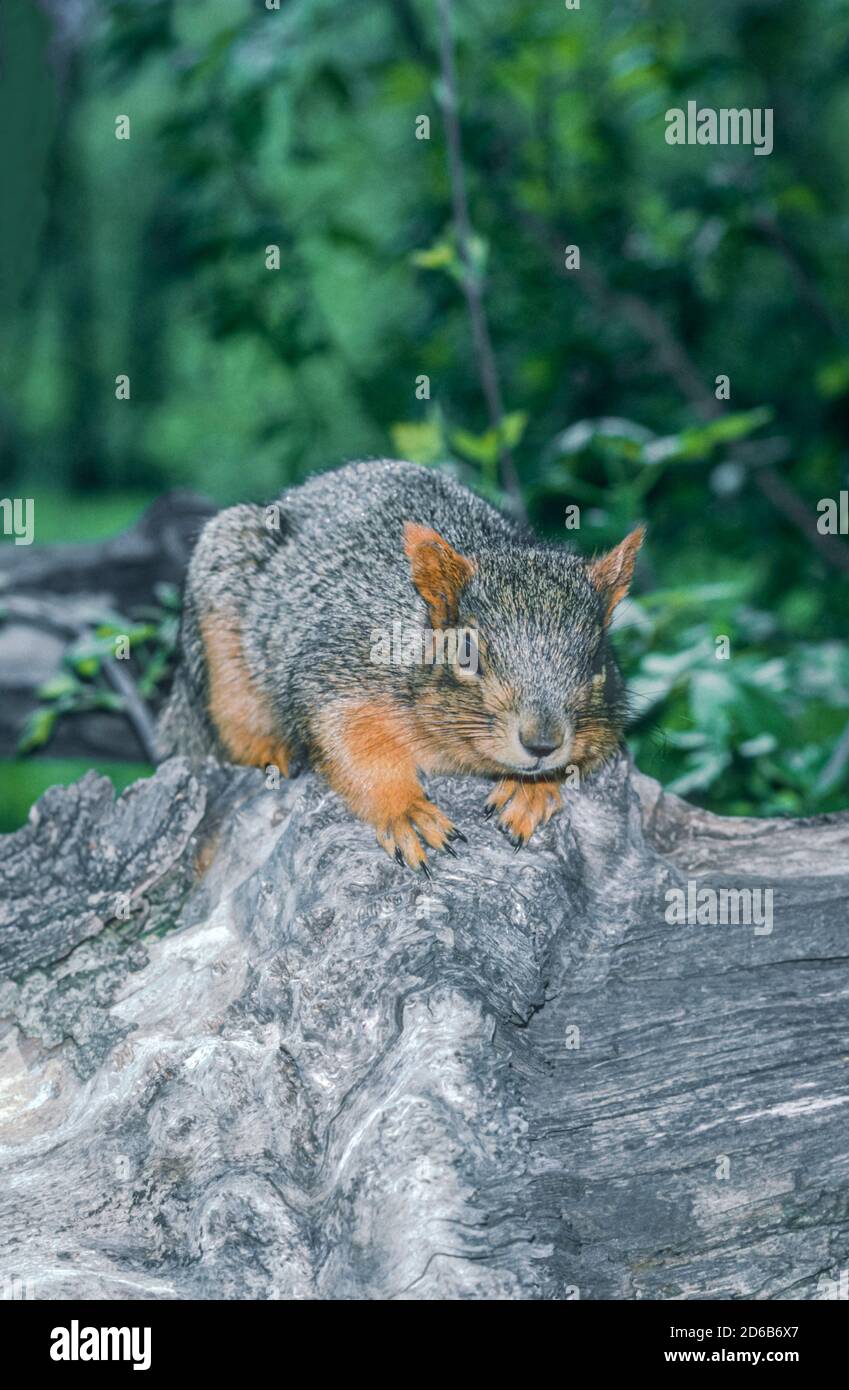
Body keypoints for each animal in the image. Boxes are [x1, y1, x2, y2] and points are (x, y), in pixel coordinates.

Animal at [156, 458, 644, 872]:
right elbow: (351, 743)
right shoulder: (338, 666)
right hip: (218, 641)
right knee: (231, 723)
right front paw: (406, 811)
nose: (542, 743)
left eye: (598, 660)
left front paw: (533, 791)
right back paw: (271, 749)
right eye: (465, 653)